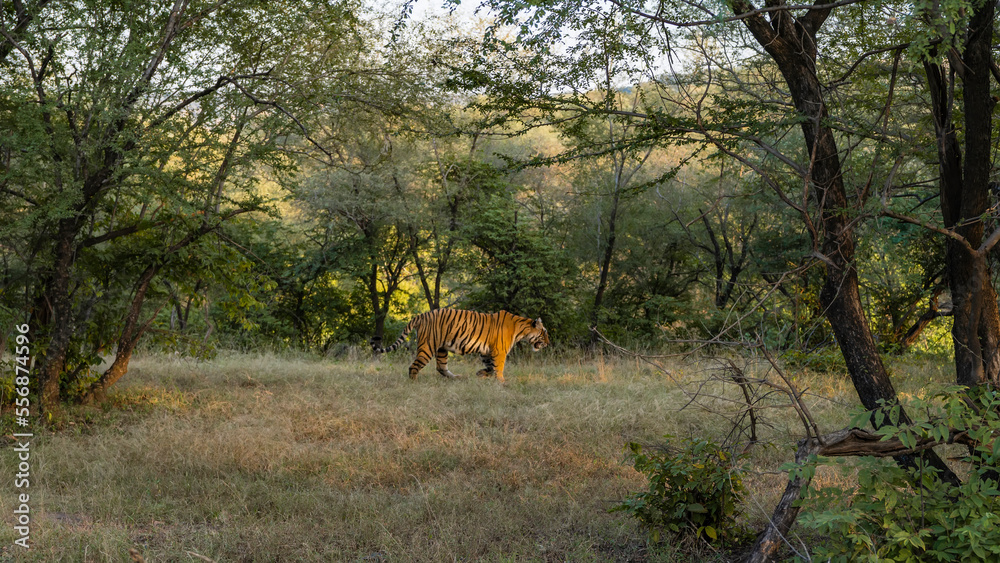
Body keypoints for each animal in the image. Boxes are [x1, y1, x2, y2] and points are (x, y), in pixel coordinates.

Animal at [370, 308, 550, 382]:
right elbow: (499, 367)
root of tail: (421, 315)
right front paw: (501, 381)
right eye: (544, 332)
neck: (521, 329)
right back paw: (414, 382)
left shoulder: (486, 351)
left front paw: (482, 373)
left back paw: (457, 377)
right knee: (414, 366)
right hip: (428, 347)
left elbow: (490, 366)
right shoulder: (499, 351)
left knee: (441, 367)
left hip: (442, 349)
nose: (548, 343)